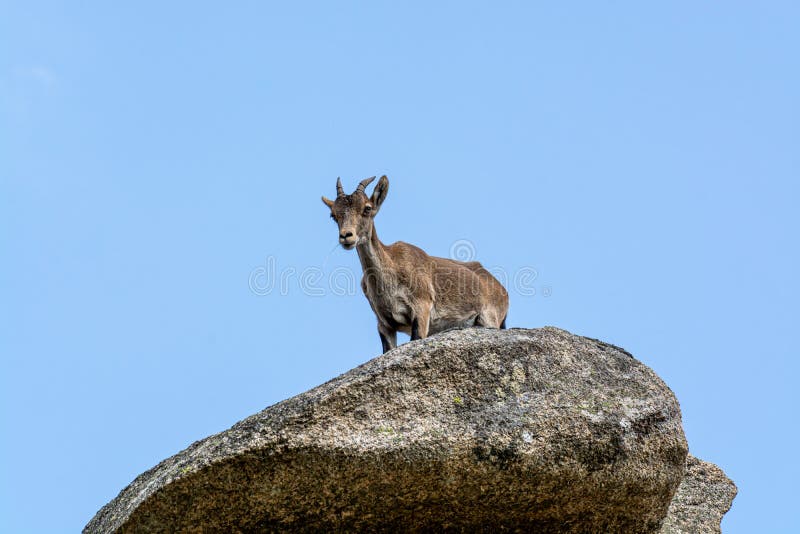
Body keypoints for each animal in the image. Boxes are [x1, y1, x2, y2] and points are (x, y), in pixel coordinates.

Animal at [322, 176, 509, 353]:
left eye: (367, 208)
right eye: (333, 215)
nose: (346, 236)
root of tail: (502, 289)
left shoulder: (422, 308)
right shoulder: (384, 324)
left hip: (489, 318)